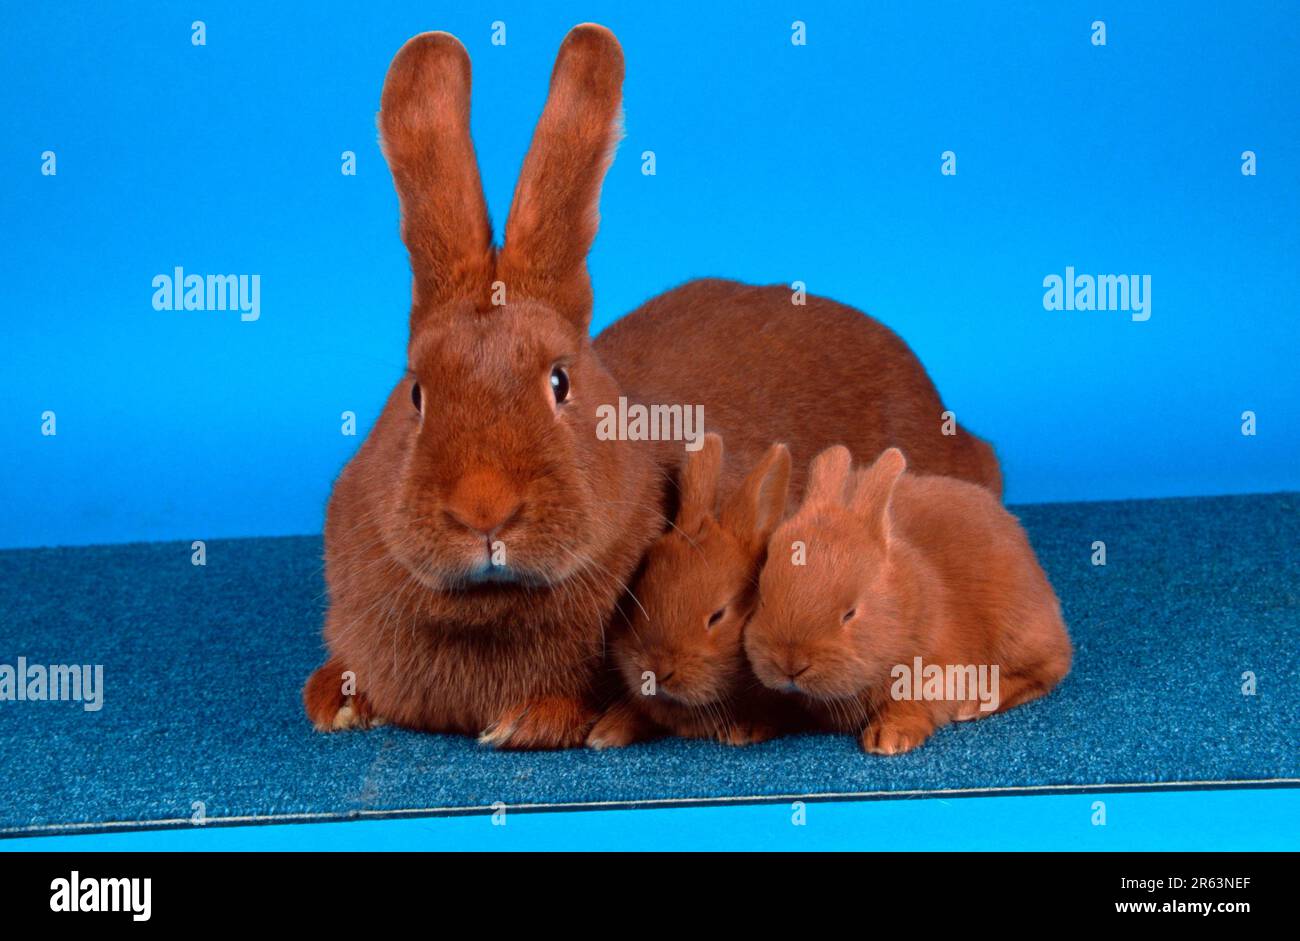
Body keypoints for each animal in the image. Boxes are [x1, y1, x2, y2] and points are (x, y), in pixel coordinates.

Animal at [744, 446, 1072, 755]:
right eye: (763, 599)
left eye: (850, 613)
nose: (790, 664)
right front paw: (752, 725)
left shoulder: (937, 666)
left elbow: (915, 701)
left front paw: (888, 737)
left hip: (1018, 632)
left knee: (1050, 668)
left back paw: (979, 701)